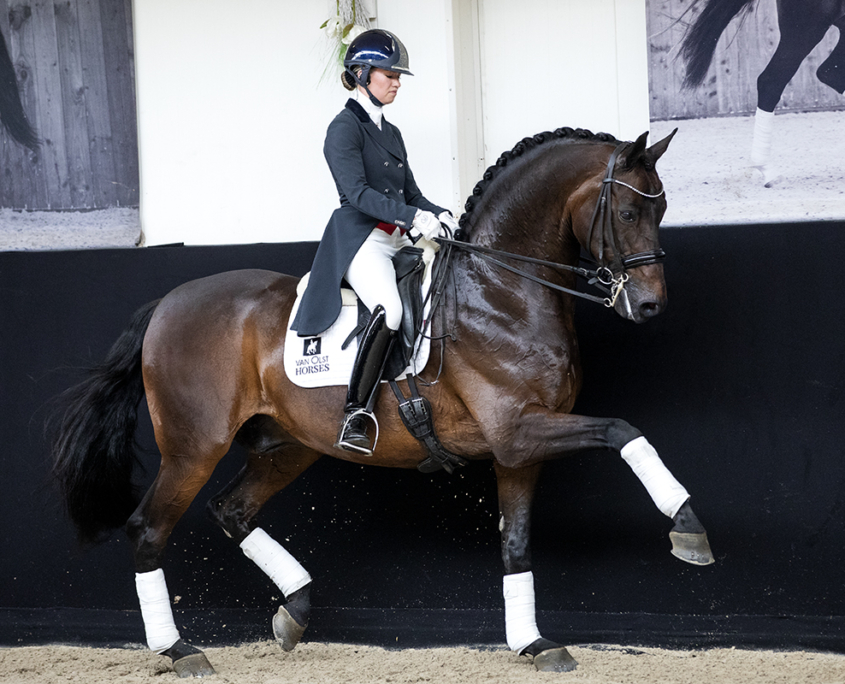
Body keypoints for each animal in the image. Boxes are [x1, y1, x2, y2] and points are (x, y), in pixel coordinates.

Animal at [51, 126, 714, 678]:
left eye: (662, 209)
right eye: (628, 210)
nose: (650, 305)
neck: (503, 290)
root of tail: (166, 304)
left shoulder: (517, 450)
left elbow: (516, 544)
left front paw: (533, 643)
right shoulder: (519, 429)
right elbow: (623, 430)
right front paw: (688, 528)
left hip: (289, 445)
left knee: (232, 509)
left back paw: (294, 609)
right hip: (194, 447)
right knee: (148, 529)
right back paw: (181, 649)